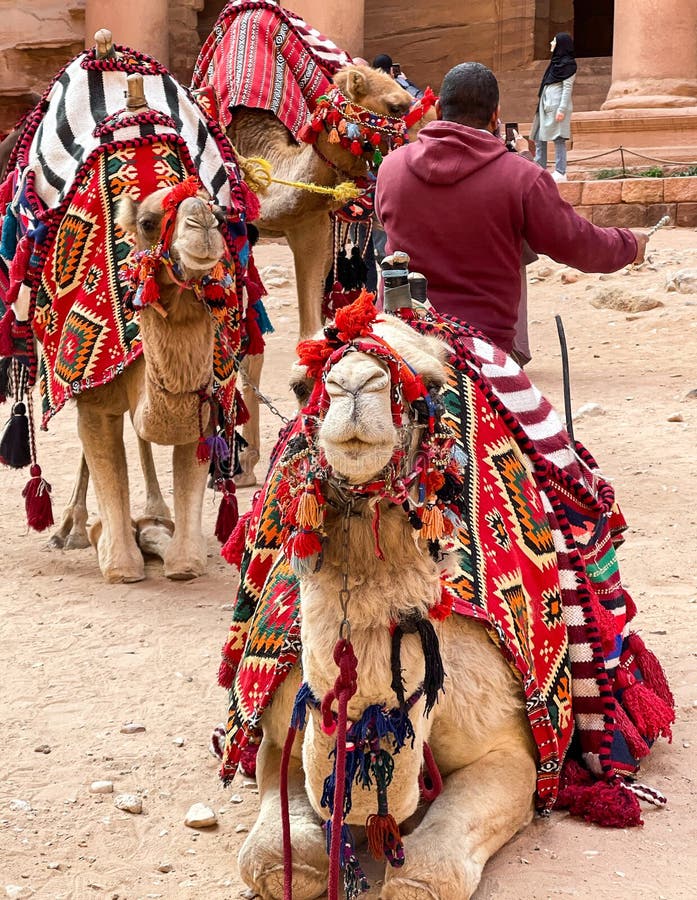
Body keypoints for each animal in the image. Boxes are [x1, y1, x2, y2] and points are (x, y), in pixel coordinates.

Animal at [238, 313, 537, 899]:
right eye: (301, 386)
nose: (355, 386)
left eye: (434, 385)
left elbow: (427, 876)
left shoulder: (508, 748)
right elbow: (272, 861)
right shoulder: (279, 733)